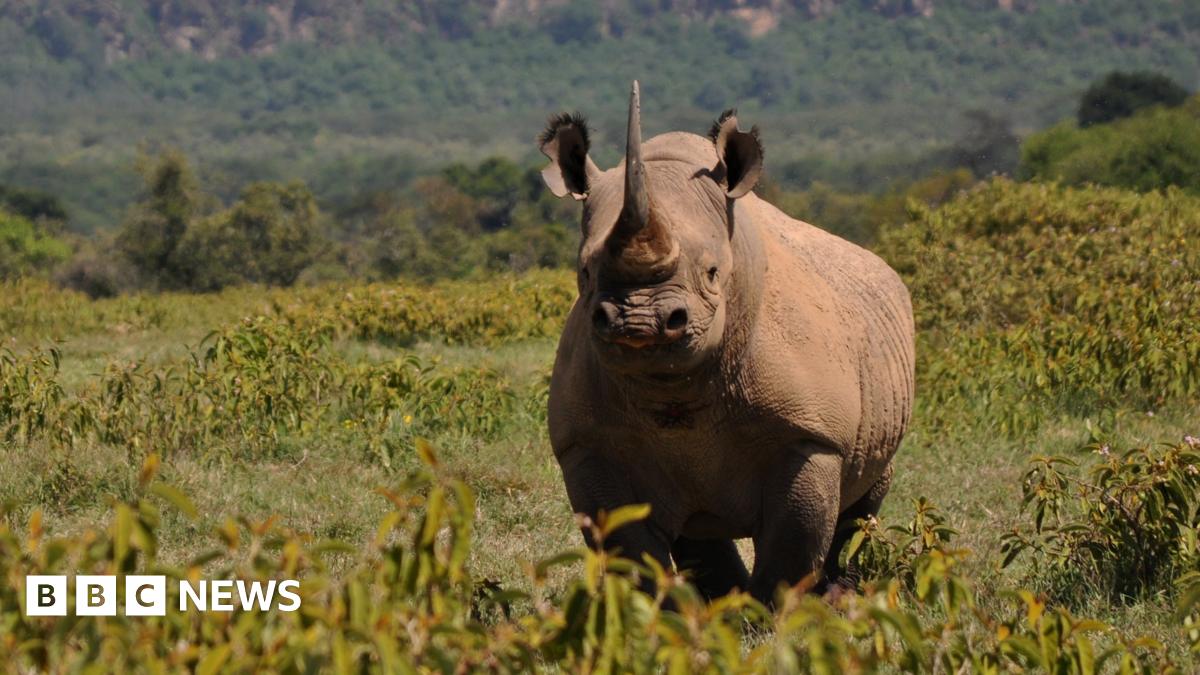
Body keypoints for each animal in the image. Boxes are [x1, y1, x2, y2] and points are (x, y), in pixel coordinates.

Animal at [538, 83, 915, 602]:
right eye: (585, 272)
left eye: (714, 273)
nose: (639, 321)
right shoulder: (588, 443)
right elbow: (628, 548)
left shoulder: (812, 435)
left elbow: (790, 550)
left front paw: (767, 616)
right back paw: (720, 600)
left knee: (866, 495)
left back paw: (836, 594)